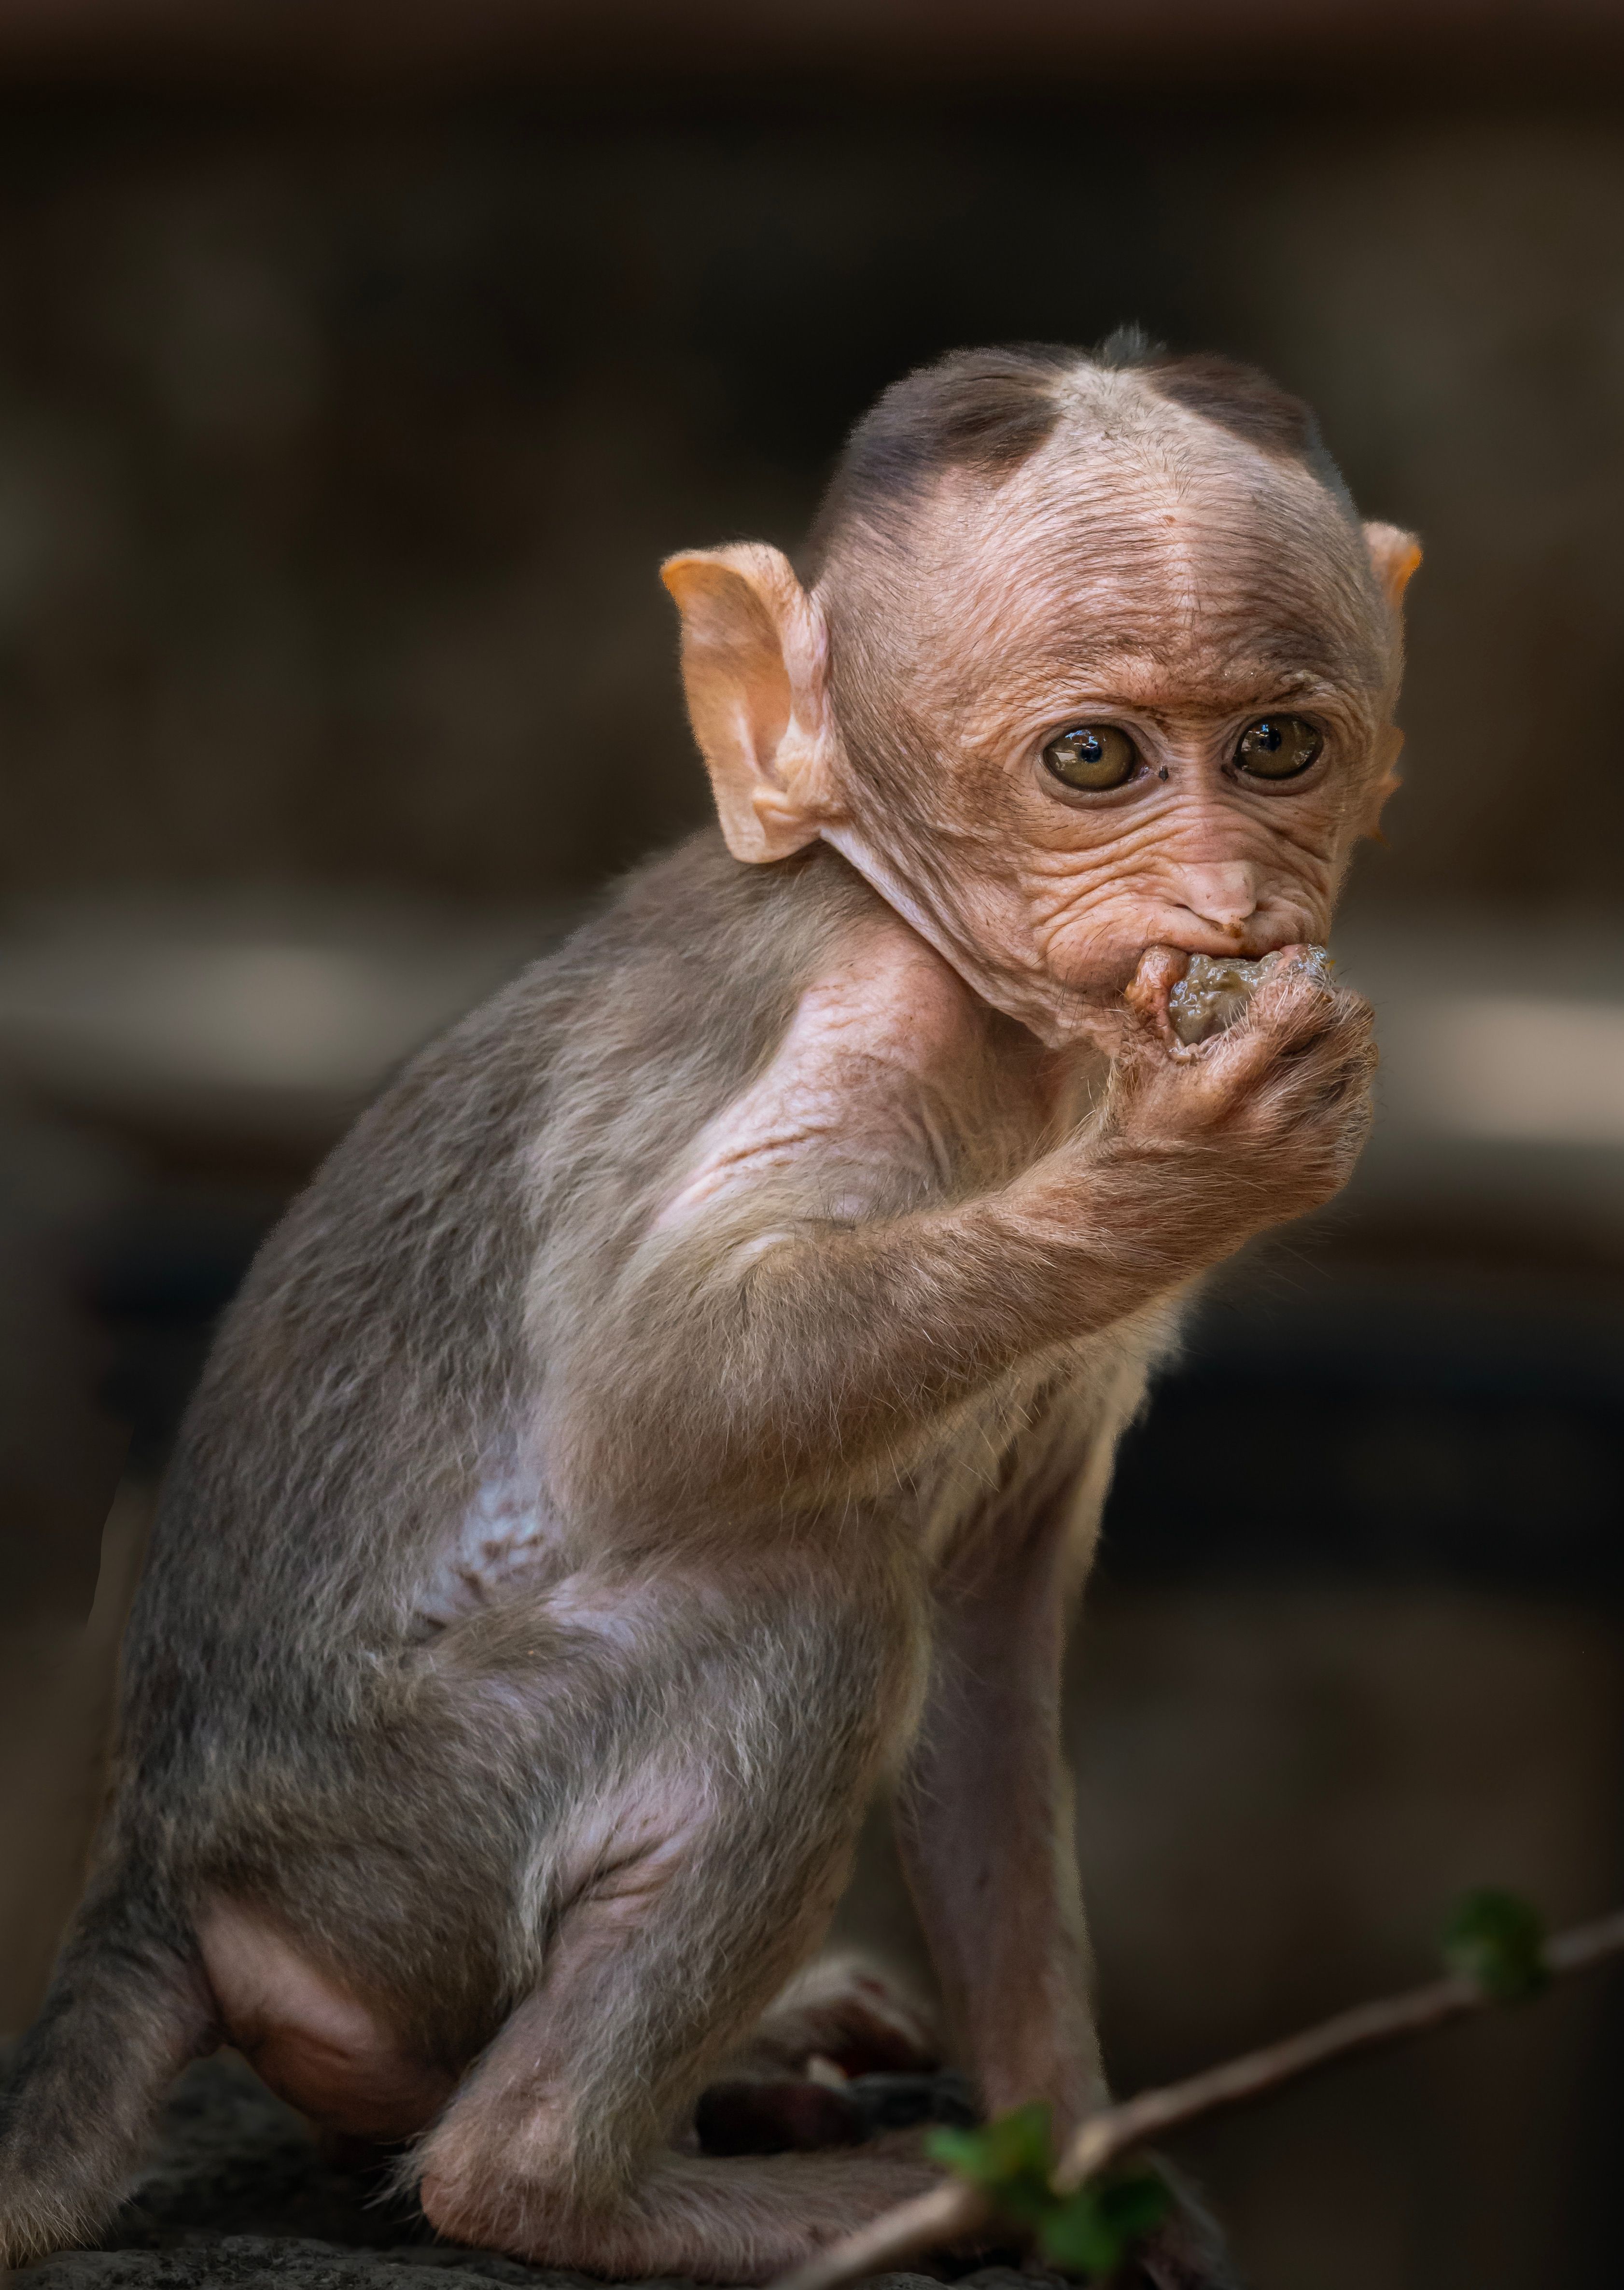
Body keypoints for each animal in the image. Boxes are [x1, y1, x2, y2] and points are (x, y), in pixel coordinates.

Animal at [0, 335, 1417, 2285]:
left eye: (1274, 747)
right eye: (1093, 760)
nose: (1221, 902)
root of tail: (160, 1863)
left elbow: (988, 1644)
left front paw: (1070, 2161)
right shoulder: (865, 1013)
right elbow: (654, 1395)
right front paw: (1193, 1157)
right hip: (399, 1840)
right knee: (807, 1603)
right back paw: (568, 2181)